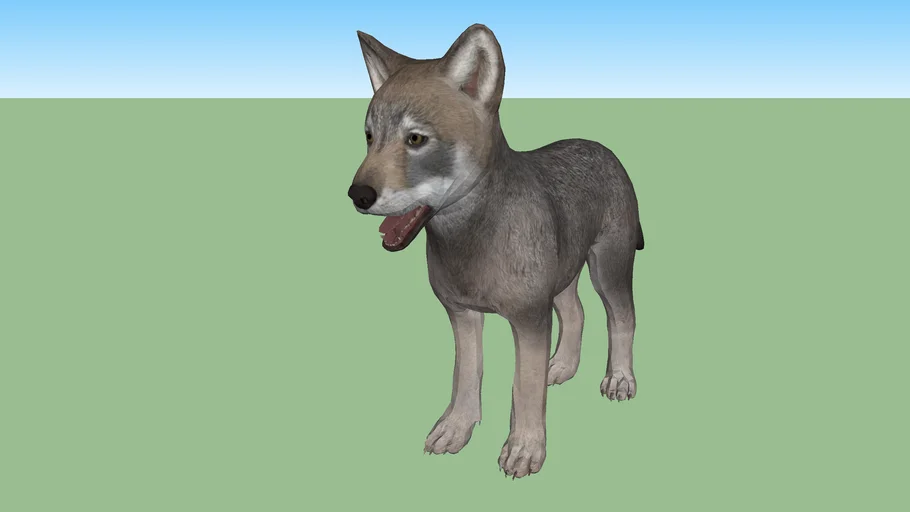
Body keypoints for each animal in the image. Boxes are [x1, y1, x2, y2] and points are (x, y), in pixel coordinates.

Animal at [346, 24, 645, 479]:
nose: (357, 195)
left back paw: (620, 379)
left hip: (607, 269)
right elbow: (466, 376)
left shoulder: (529, 319)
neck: (471, 240)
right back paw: (561, 366)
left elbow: (524, 388)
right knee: (576, 314)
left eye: (415, 139)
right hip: (563, 276)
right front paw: (456, 428)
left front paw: (524, 449)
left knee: (623, 318)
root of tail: (600, 147)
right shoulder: (463, 314)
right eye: (370, 137)